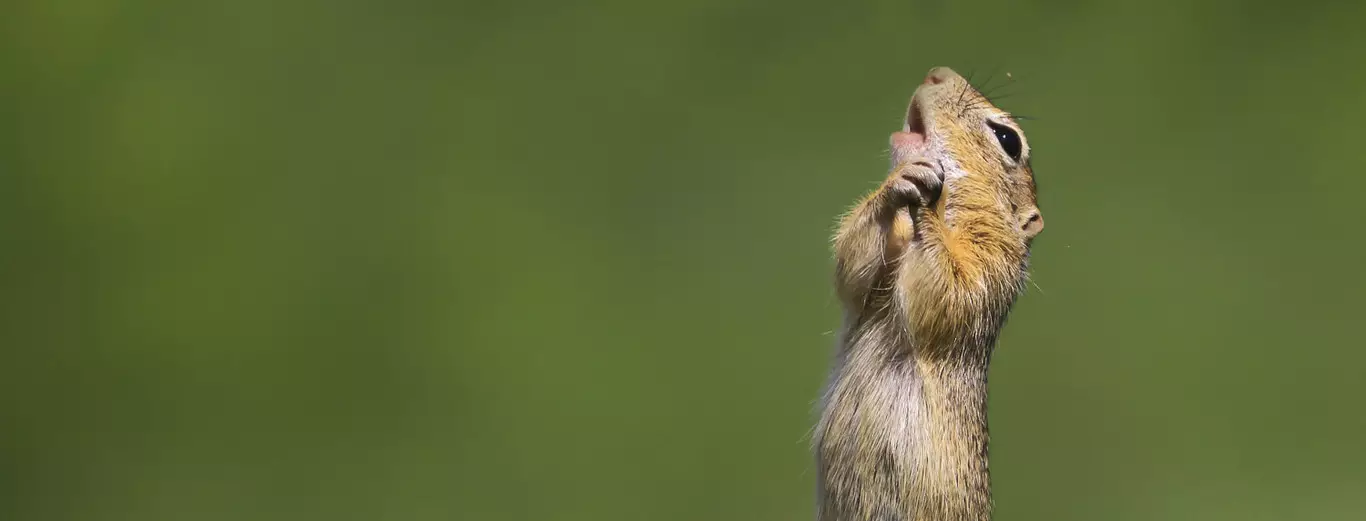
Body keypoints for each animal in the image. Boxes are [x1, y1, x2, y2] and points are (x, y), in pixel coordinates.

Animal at [808, 65, 1043, 519]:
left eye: (1009, 139)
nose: (936, 73)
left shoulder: (989, 268)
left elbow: (948, 291)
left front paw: (930, 207)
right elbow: (852, 266)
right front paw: (896, 185)